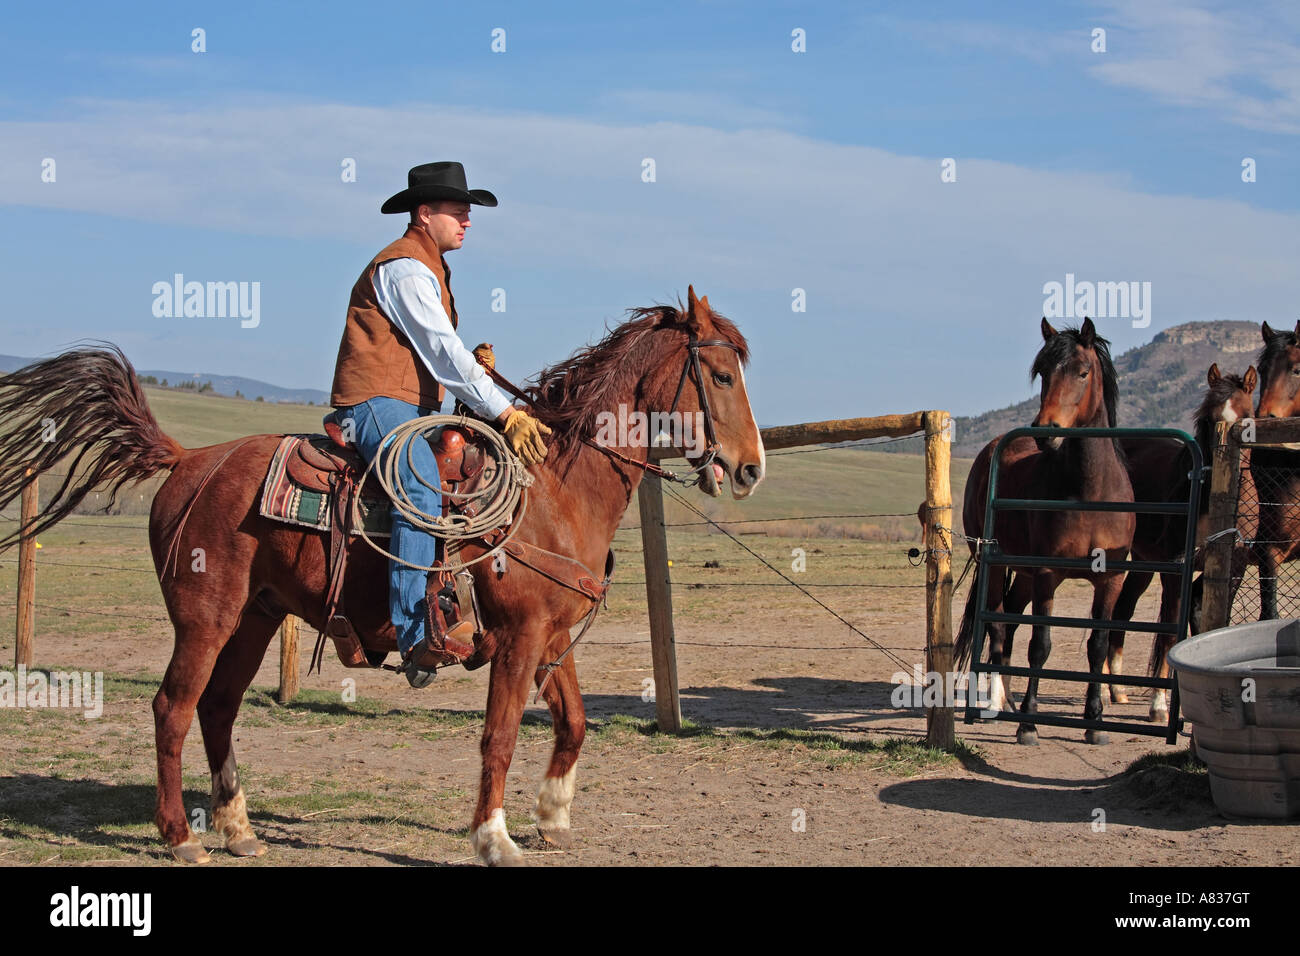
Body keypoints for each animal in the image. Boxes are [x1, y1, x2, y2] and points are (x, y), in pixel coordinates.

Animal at [0, 286, 766, 866]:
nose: (751, 468)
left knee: (217, 708)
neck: (553, 489)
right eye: (722, 377)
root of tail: (189, 461)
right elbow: (500, 735)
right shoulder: (519, 640)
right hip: (205, 620)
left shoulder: (550, 636)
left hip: (256, 618)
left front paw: (551, 816)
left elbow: (574, 724)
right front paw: (494, 839)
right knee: (173, 708)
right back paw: (182, 836)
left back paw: (239, 828)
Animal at [955, 317, 1135, 745]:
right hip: (997, 566)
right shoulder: (1048, 575)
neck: (1090, 493)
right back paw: (996, 706)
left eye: (1083, 372)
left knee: (1009, 624)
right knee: (998, 628)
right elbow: (1041, 646)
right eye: (1043, 373)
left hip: (1022, 574)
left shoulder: (1111, 580)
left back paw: (1006, 699)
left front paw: (1095, 723)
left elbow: (1097, 646)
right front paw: (1029, 724)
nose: (1045, 430)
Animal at [1103, 363, 1257, 723]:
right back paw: (1105, 690)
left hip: (1143, 562)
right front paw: (1160, 706)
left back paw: (1118, 689)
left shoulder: (1233, 571)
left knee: (1123, 609)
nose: (1216, 473)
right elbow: (1171, 631)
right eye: (1208, 418)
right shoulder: (1175, 569)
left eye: (1247, 417)